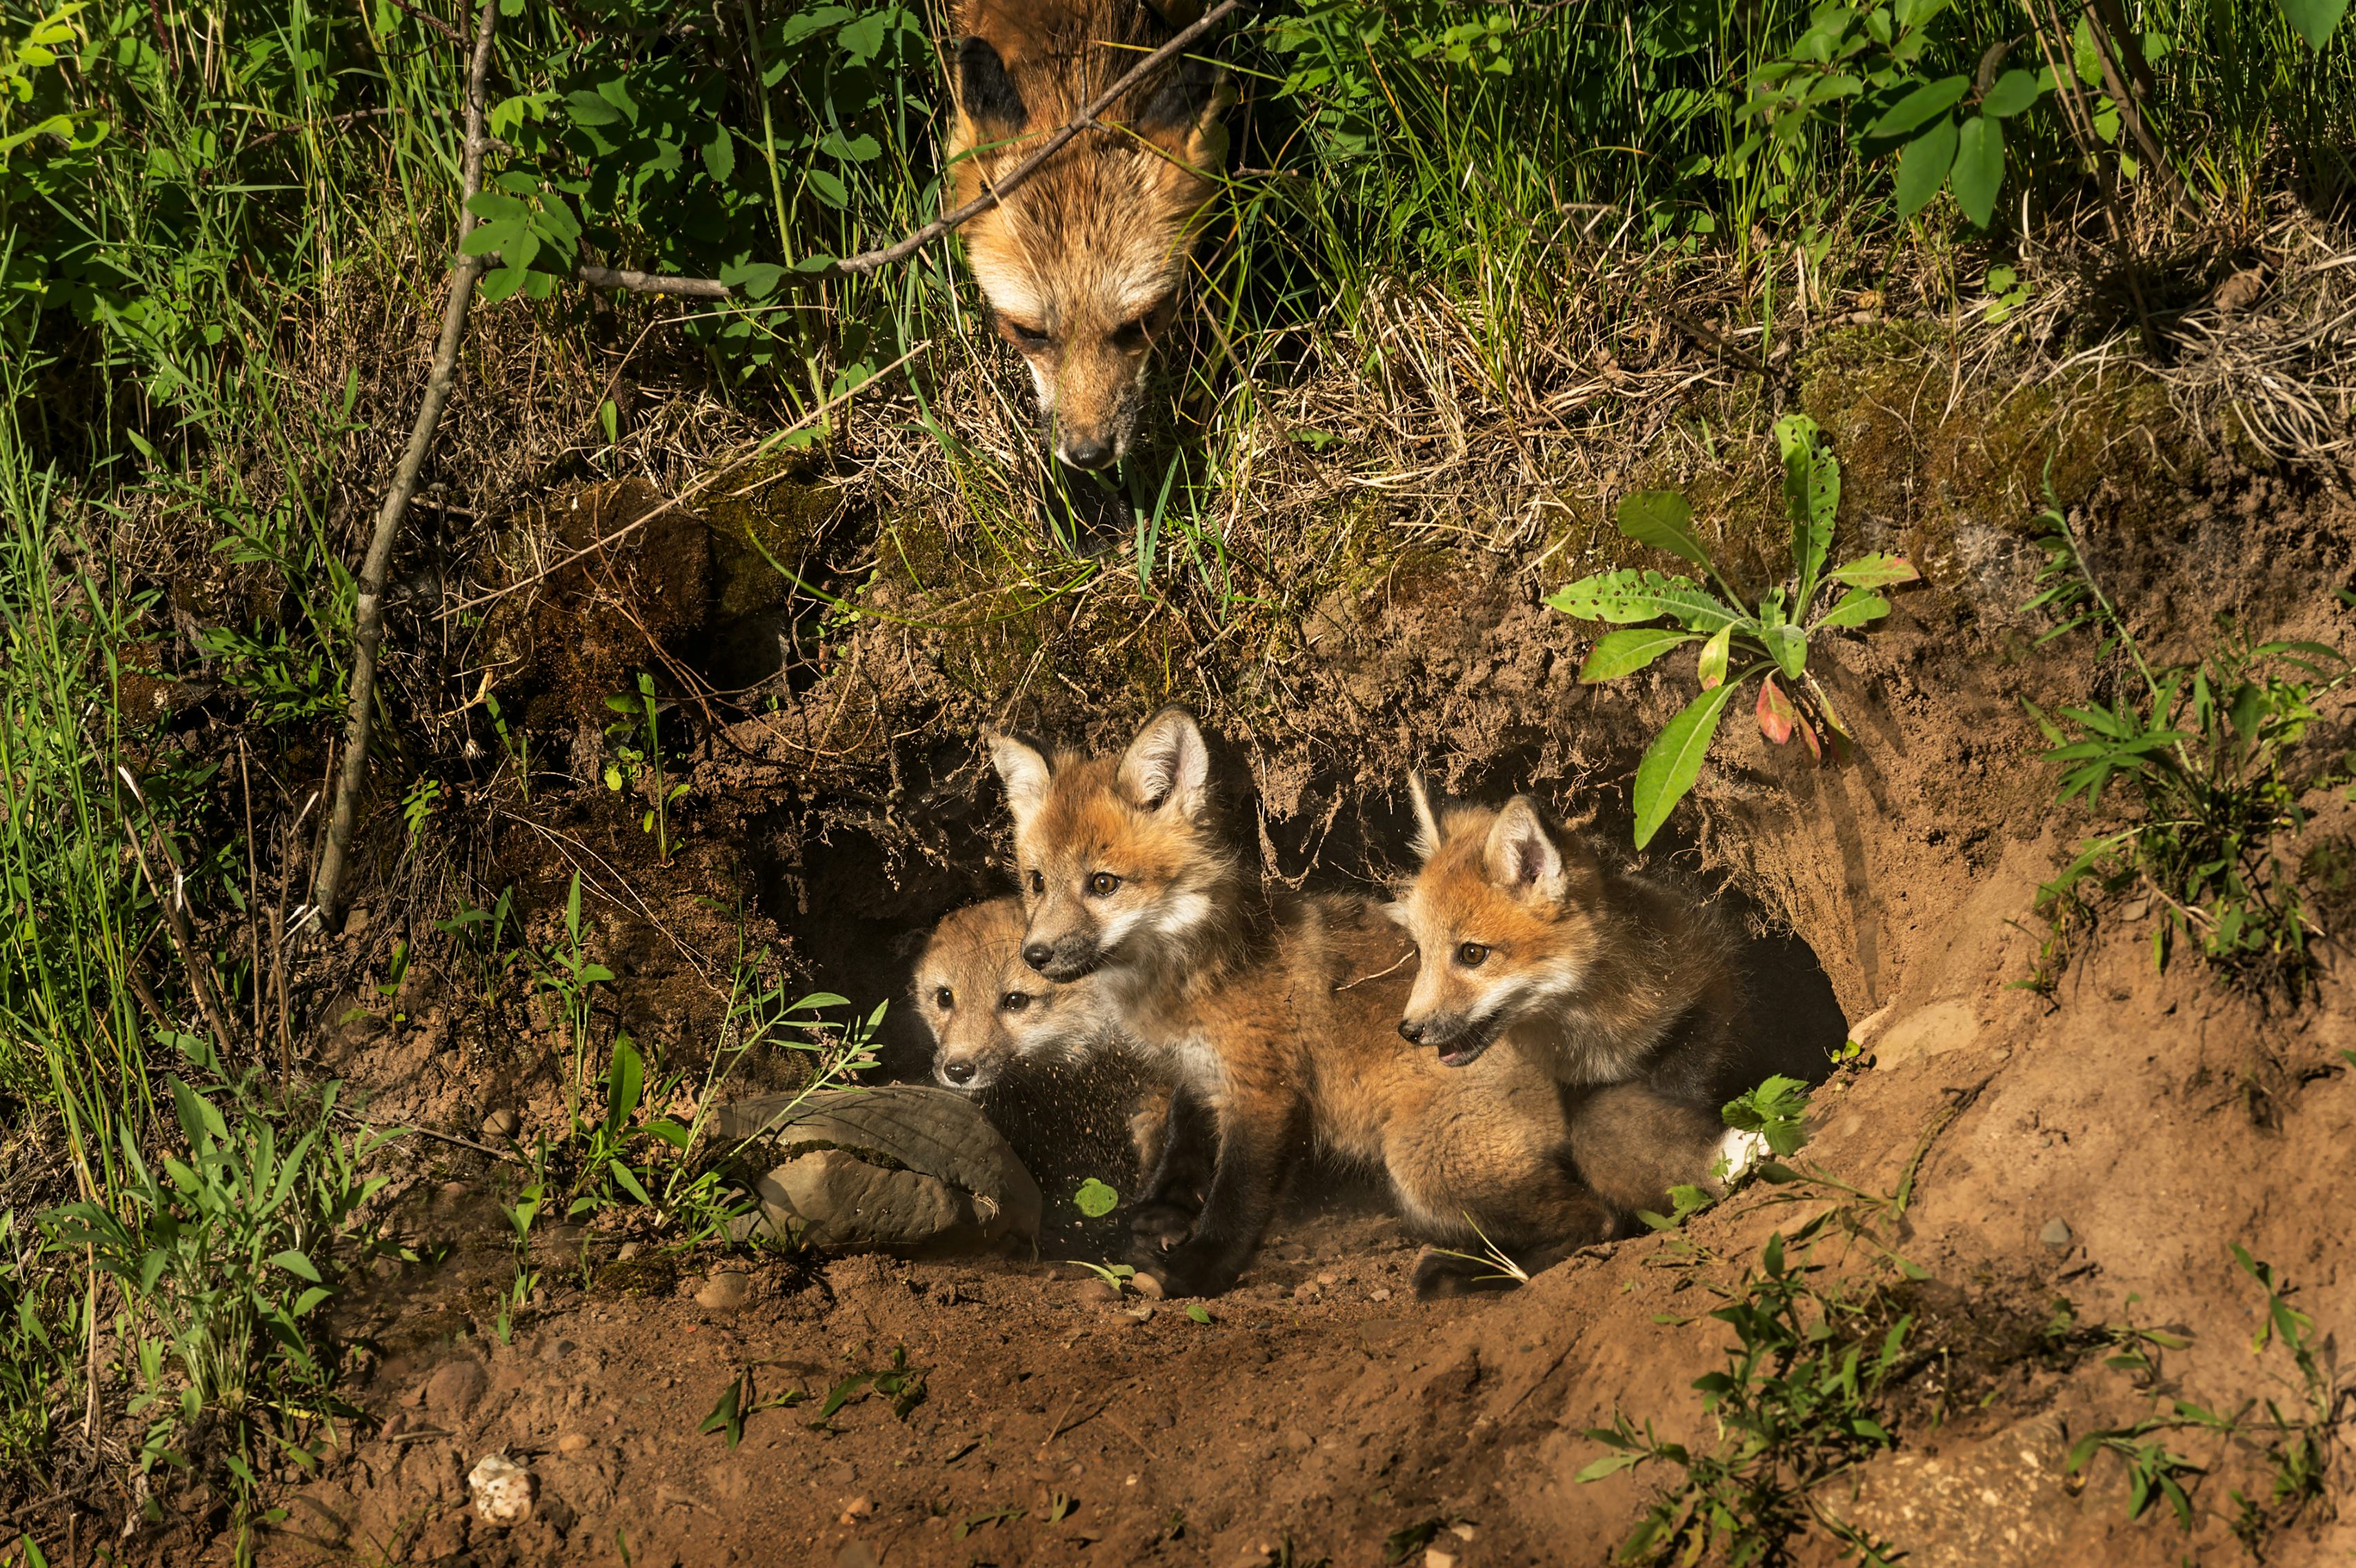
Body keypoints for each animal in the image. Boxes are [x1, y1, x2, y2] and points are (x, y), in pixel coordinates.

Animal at [989, 709, 1615, 1297]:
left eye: (1103, 884)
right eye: (1037, 881)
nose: (1036, 954)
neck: (1188, 981)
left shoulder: (1265, 1090)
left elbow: (1236, 1197)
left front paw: (1196, 1269)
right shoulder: (1198, 1073)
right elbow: (1182, 1147)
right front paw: (1158, 1216)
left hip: (1423, 1163)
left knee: (1597, 1219)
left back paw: (1467, 1274)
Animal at [1389, 775, 1797, 1223]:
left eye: (1473, 954)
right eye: (1419, 952)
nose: (1408, 1030)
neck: (1598, 1027)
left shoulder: (1714, 989)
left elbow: (1683, 1083)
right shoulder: (1582, 1086)